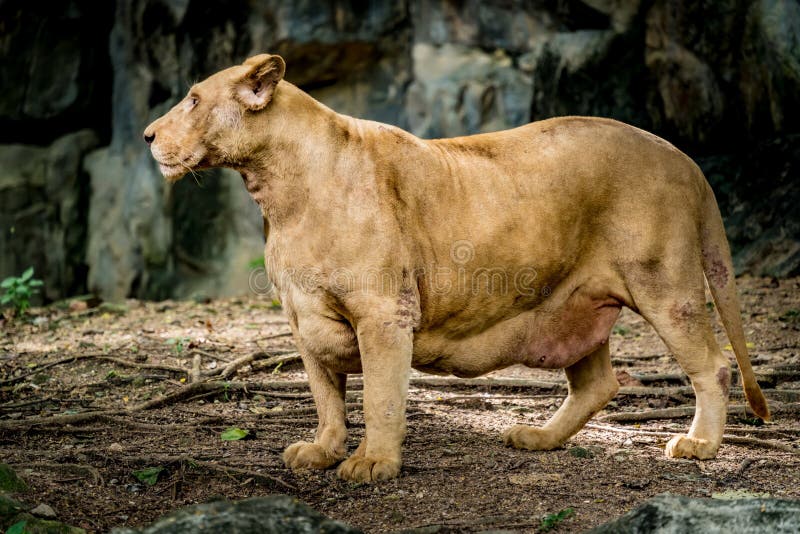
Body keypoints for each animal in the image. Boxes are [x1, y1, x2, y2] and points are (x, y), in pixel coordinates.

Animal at [144, 53, 770, 483]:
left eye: (193, 100)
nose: (148, 135)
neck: (278, 191)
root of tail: (681, 157)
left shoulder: (384, 314)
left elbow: (379, 396)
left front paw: (373, 464)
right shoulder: (303, 320)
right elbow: (326, 395)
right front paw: (322, 451)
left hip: (664, 284)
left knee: (713, 364)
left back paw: (699, 446)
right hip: (576, 300)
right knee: (599, 382)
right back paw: (538, 438)